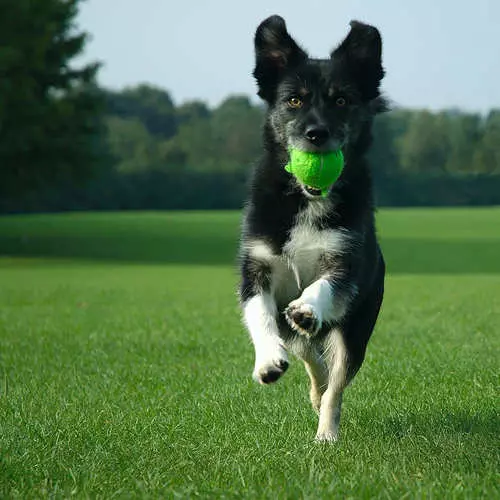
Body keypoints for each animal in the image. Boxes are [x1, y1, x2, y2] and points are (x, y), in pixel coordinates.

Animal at [238, 15, 386, 442]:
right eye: (294, 100)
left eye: (341, 101)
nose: (316, 134)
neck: (308, 198)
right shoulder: (256, 266)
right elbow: (259, 313)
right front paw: (267, 360)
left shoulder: (345, 262)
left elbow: (324, 286)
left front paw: (307, 307)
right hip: (302, 337)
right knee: (311, 358)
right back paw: (312, 388)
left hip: (355, 332)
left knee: (335, 382)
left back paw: (326, 432)